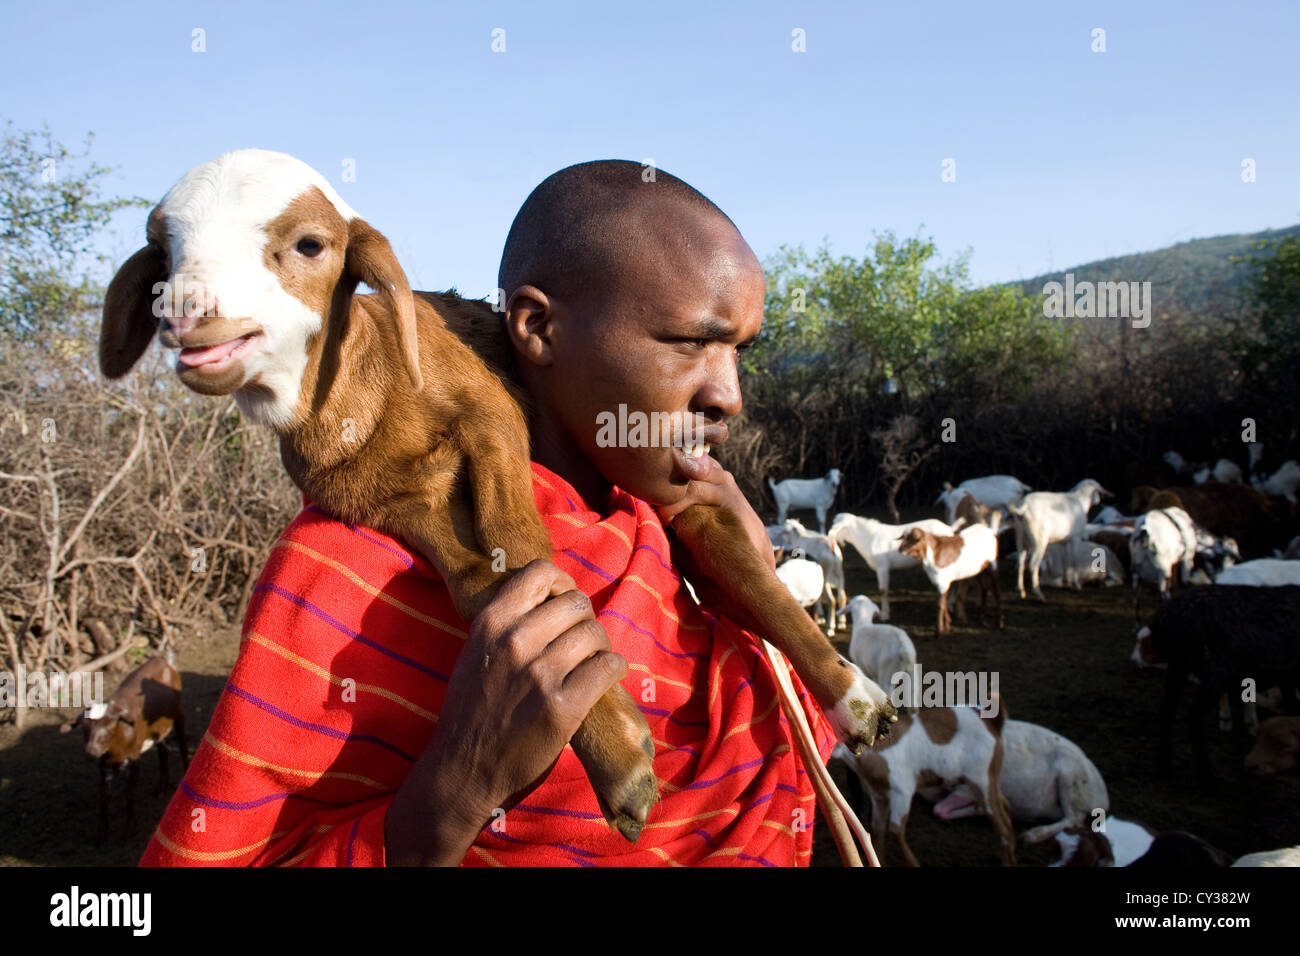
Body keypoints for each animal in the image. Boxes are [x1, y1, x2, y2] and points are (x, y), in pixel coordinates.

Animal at [61, 653, 188, 843]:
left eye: (110, 726)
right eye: (84, 728)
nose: (91, 753)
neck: (116, 750)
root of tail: (161, 660)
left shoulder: (134, 757)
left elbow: (130, 792)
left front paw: (129, 829)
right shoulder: (103, 763)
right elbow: (104, 796)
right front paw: (101, 834)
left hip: (177, 712)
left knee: (182, 742)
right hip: (156, 730)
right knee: (163, 751)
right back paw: (161, 788)